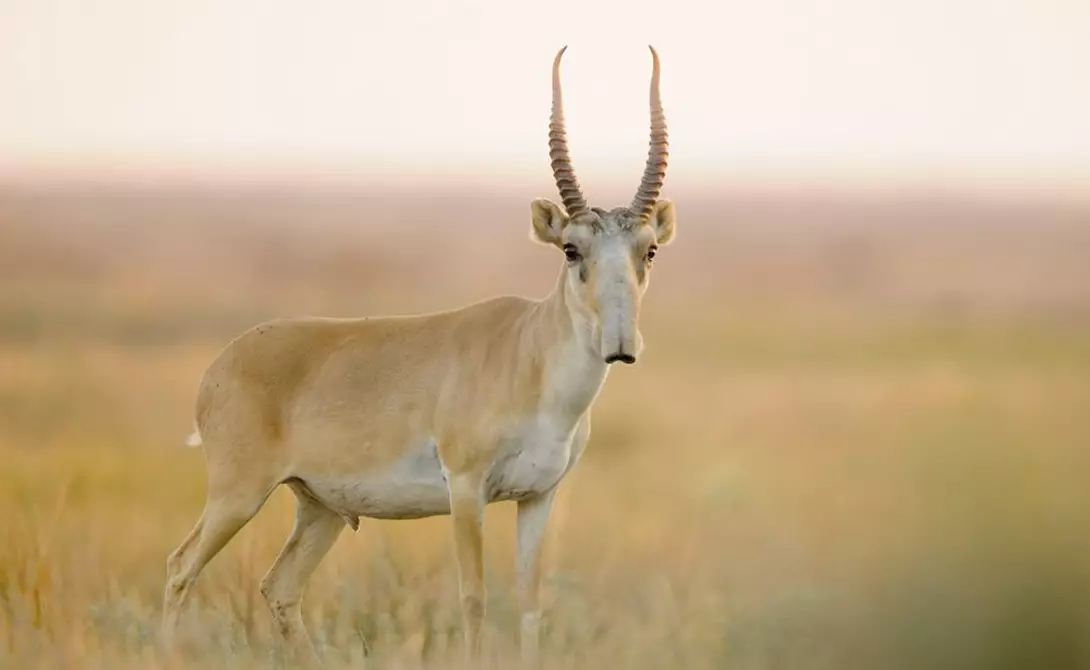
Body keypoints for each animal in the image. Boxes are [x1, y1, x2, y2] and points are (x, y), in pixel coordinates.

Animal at [159, 45, 680, 666]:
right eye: (572, 248)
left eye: (648, 249)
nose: (621, 346)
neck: (528, 357)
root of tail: (220, 365)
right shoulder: (466, 489)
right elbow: (474, 597)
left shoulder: (538, 496)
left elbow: (529, 604)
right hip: (238, 496)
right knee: (180, 567)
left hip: (320, 509)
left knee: (278, 588)